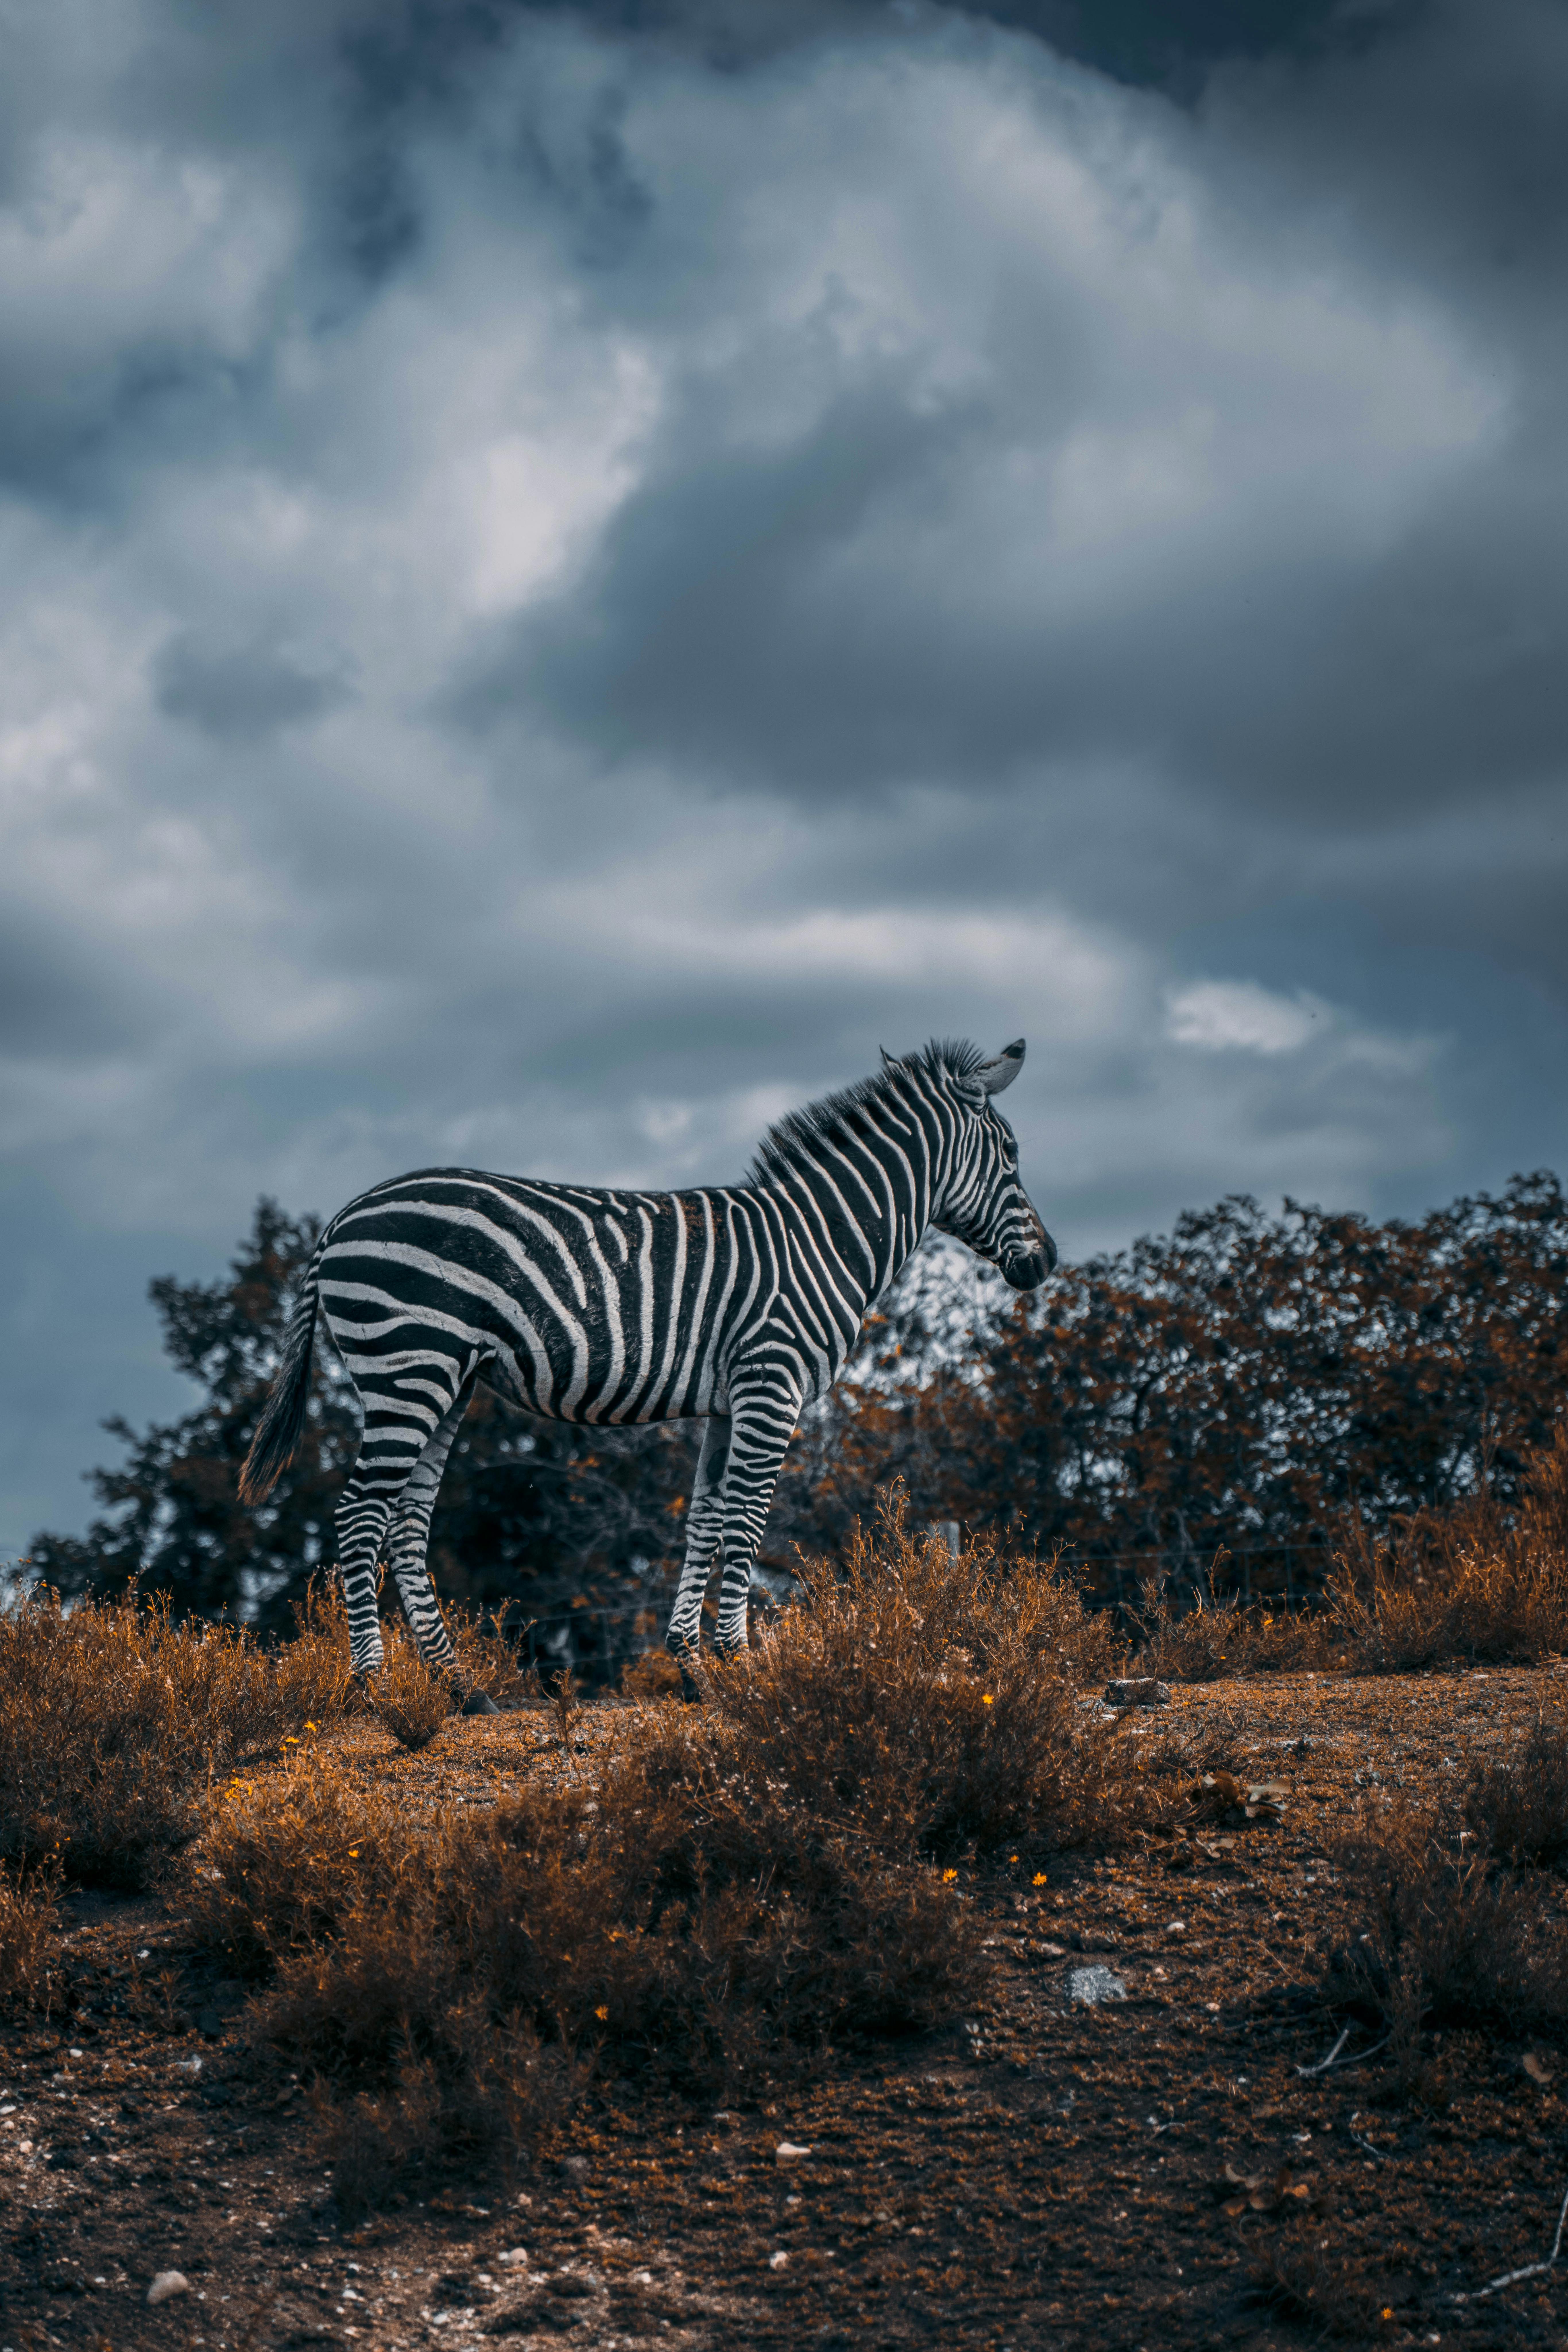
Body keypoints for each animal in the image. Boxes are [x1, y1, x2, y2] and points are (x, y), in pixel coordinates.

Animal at [239, 1037, 1055, 1704]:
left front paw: (694, 1666)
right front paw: (743, 1663)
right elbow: (747, 1520)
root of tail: (342, 1218)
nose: (1045, 1263)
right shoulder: (772, 1382)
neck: (822, 1237)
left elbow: (706, 1518)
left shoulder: (729, 1401)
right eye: (1012, 1153)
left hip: (445, 1380)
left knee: (406, 1522)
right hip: (408, 1365)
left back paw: (462, 1689)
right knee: (361, 1514)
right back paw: (375, 1690)